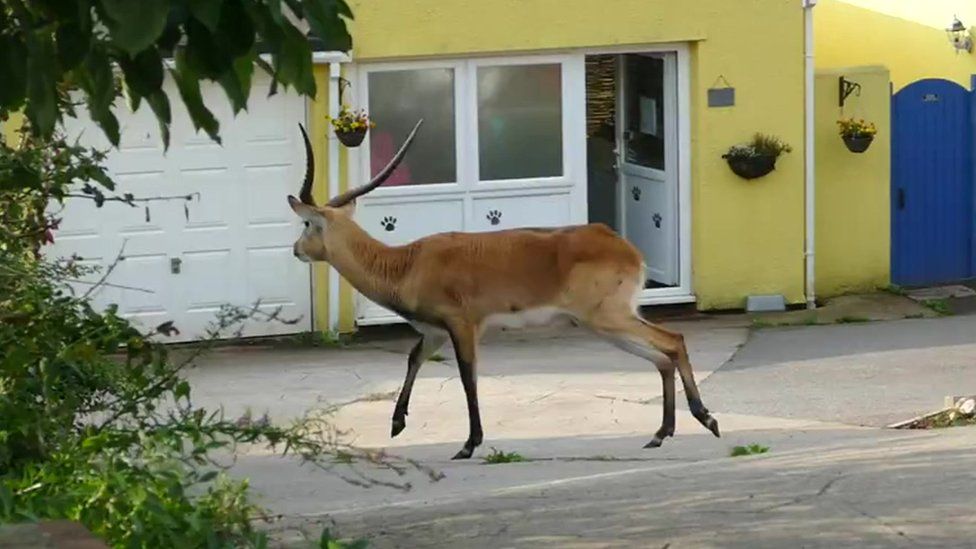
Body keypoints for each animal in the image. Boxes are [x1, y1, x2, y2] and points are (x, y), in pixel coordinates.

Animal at [287, 120, 720, 460]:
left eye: (308, 224)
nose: (295, 250)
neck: (406, 263)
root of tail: (624, 247)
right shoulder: (434, 332)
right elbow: (413, 360)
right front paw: (396, 425)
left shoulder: (463, 325)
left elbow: (468, 377)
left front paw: (469, 444)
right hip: (605, 325)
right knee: (661, 357)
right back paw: (661, 434)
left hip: (609, 318)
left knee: (673, 340)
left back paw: (707, 420)